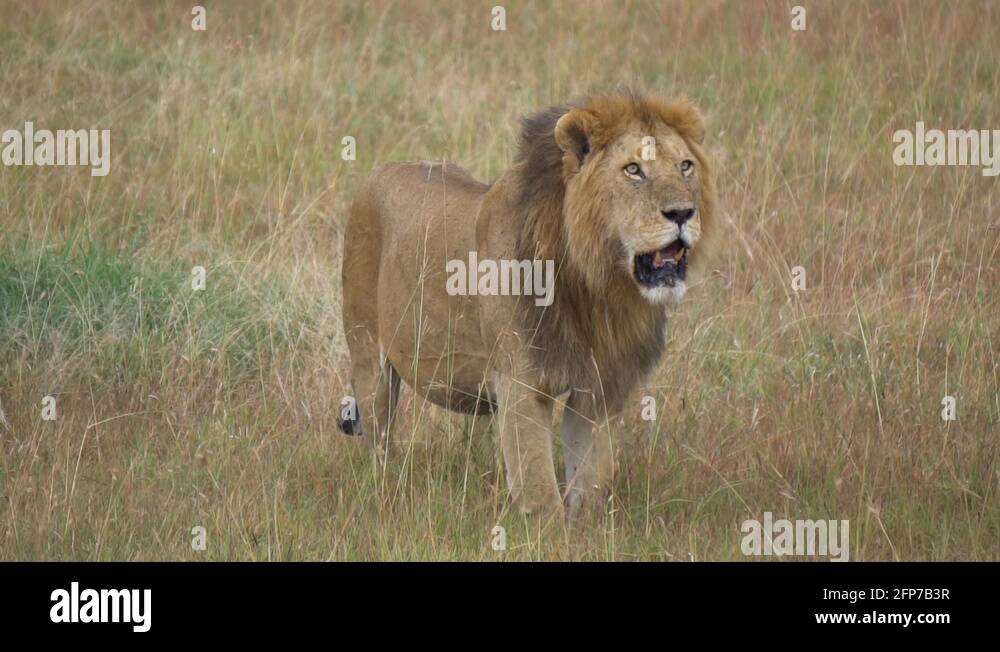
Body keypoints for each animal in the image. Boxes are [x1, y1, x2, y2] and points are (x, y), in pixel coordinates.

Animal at [340, 91, 720, 519]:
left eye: (685, 166)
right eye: (633, 170)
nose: (682, 213)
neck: (598, 285)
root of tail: (381, 170)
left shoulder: (599, 388)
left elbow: (591, 476)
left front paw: (584, 524)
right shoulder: (521, 380)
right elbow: (539, 489)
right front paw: (549, 530)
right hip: (369, 355)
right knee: (380, 440)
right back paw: (385, 493)